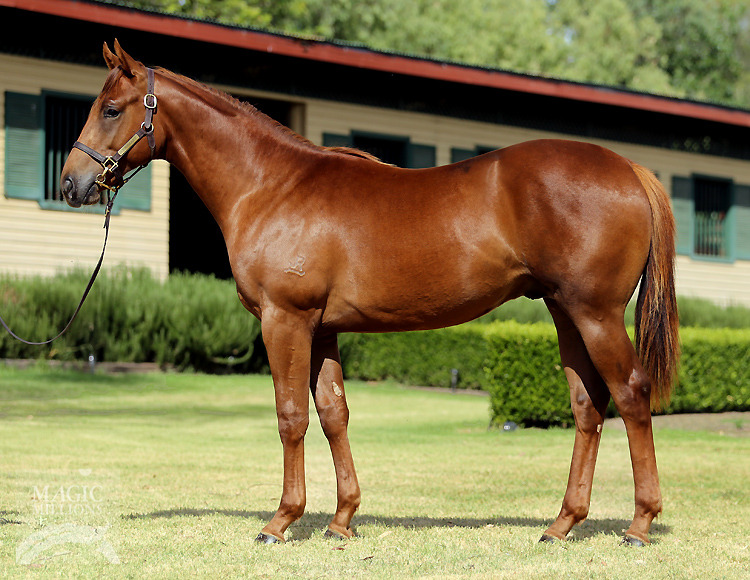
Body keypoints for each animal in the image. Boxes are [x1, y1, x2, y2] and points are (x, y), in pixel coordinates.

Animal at [60, 41, 679, 547]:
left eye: (111, 109)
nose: (71, 183)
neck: (272, 185)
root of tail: (629, 168)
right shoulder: (323, 328)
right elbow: (334, 413)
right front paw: (341, 520)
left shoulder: (284, 320)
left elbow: (291, 415)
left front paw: (280, 521)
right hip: (564, 312)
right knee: (588, 405)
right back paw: (562, 524)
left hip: (595, 314)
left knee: (630, 394)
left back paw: (640, 524)